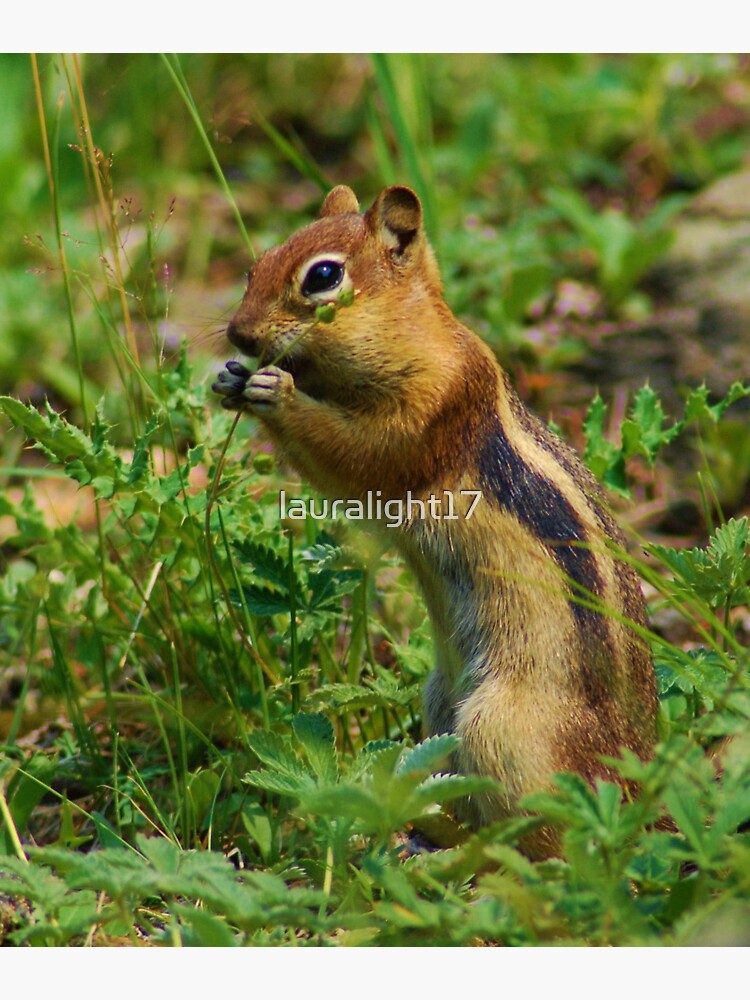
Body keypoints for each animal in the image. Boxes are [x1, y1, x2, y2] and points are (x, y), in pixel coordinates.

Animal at [213, 184, 658, 856]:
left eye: (323, 276)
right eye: (254, 266)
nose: (239, 334)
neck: (417, 335)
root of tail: (638, 787)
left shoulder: (433, 408)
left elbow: (360, 458)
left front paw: (276, 393)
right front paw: (231, 378)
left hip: (500, 729)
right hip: (439, 701)